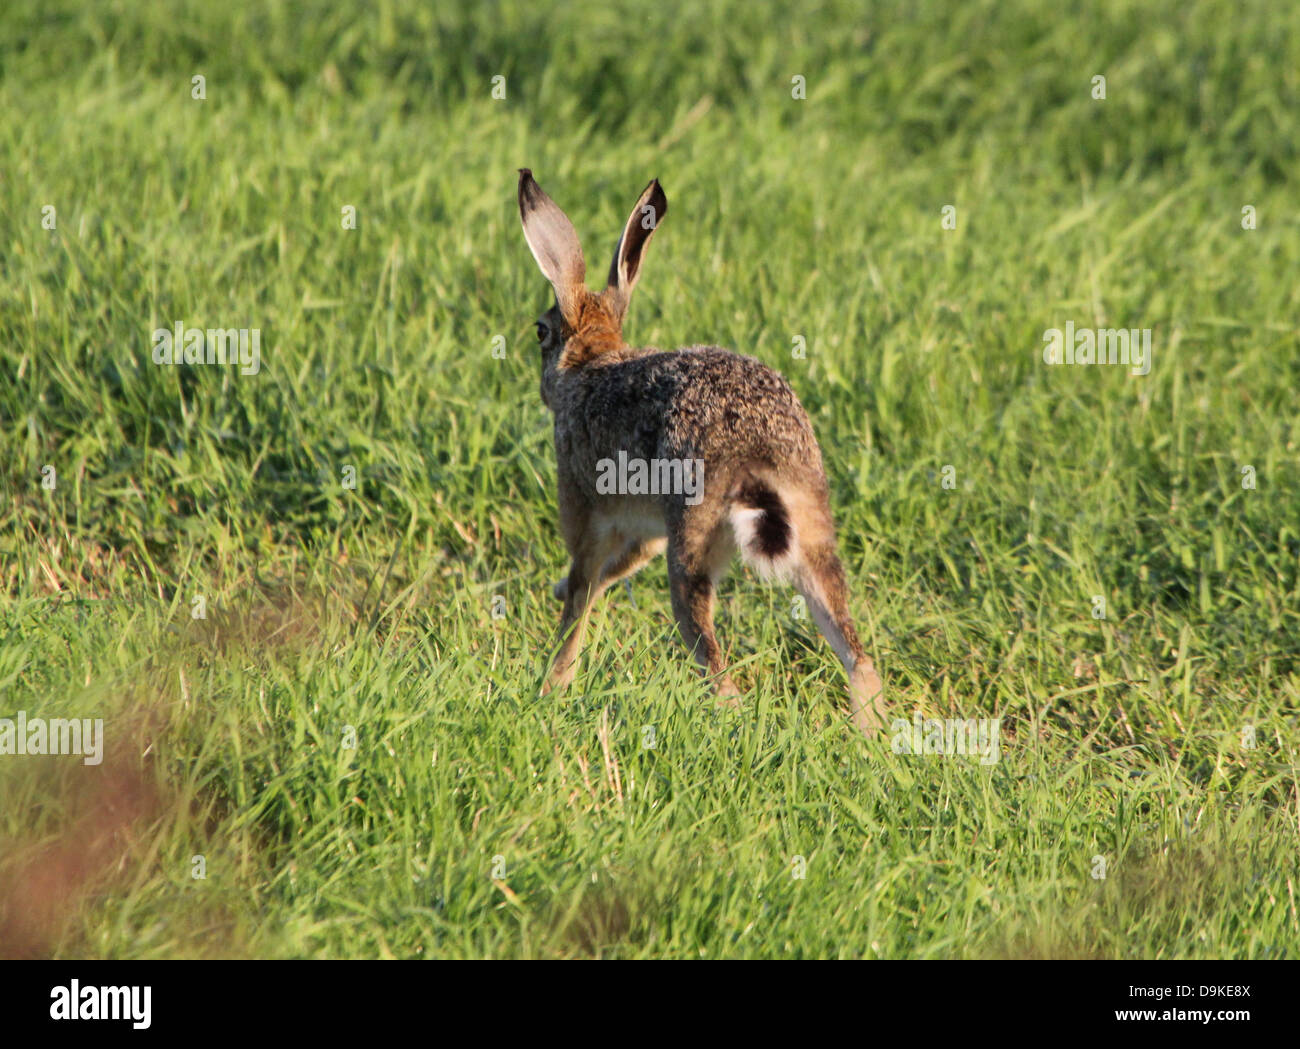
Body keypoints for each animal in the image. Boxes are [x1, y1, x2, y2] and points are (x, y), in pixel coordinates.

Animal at [517, 169, 887, 736]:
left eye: (540, 330)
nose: (542, 382)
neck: (591, 364)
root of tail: (757, 456)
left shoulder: (587, 516)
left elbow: (581, 596)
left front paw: (551, 686)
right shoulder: (646, 533)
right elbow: (611, 574)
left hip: (691, 539)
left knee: (710, 658)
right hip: (811, 528)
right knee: (856, 653)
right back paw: (873, 739)